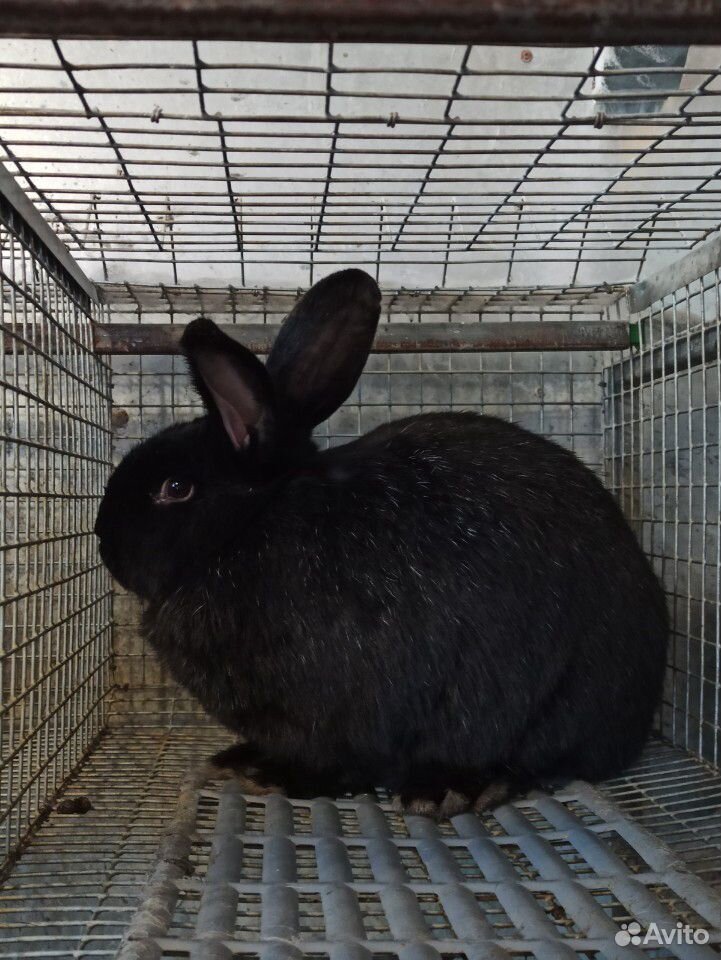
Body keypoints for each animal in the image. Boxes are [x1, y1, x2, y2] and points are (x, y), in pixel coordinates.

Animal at [95, 267, 669, 817]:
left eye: (174, 488)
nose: (103, 543)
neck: (252, 523)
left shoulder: (337, 712)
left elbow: (341, 762)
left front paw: (273, 775)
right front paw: (239, 759)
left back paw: (451, 790)